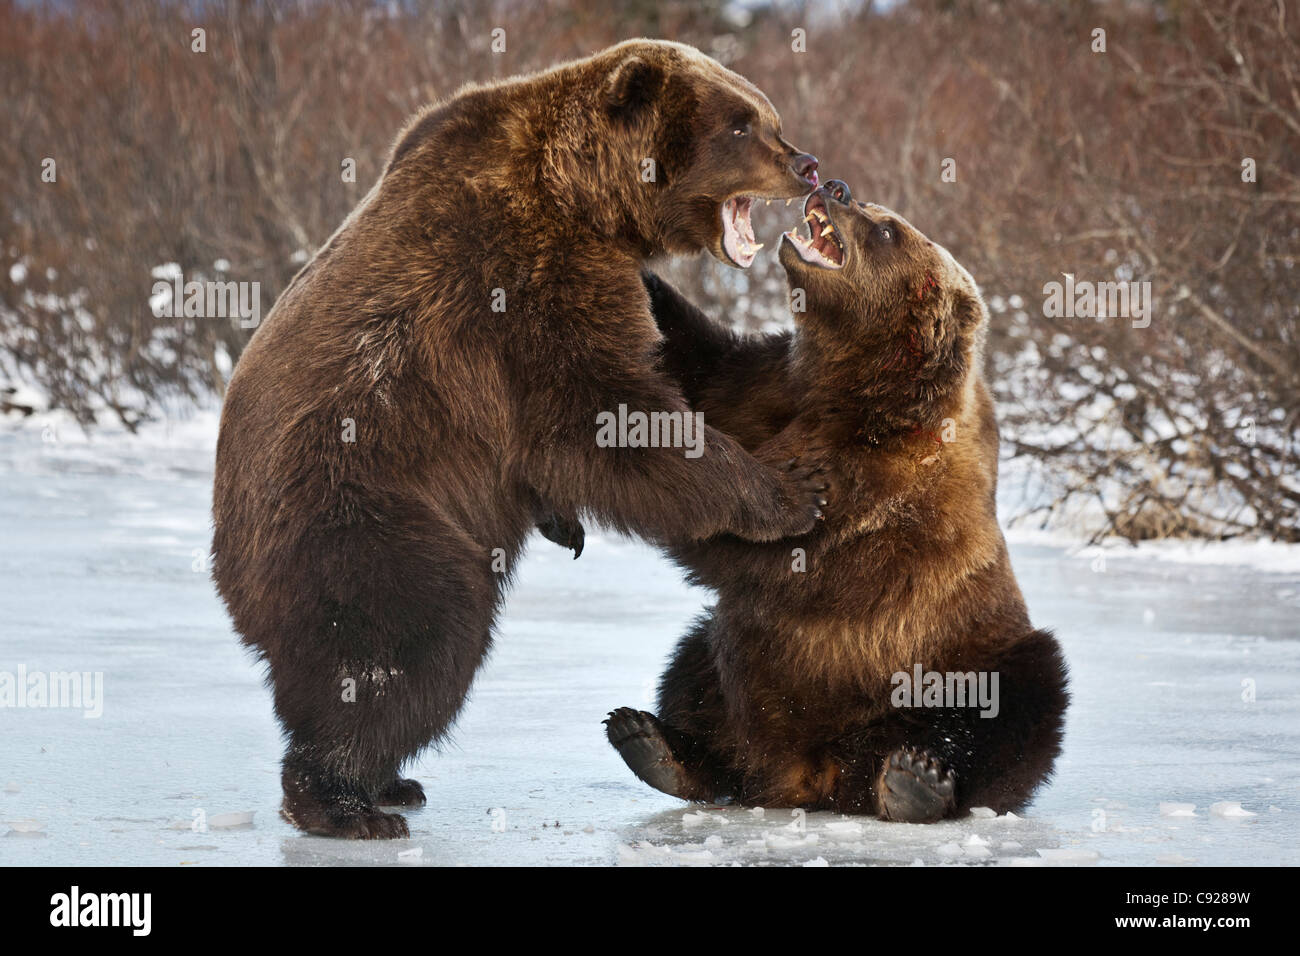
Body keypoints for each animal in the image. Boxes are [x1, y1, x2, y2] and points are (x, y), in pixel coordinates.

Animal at [211, 40, 829, 839]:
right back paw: (343, 799)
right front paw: (789, 494)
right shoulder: (519, 282)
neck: (583, 198)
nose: (806, 162)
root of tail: (232, 579)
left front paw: (563, 521)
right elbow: (603, 417)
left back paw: (390, 784)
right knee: (407, 639)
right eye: (740, 125)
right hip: (360, 517)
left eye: (767, 117)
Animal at [605, 179, 1069, 822]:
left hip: (947, 659)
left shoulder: (883, 480)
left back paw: (918, 780)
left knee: (1022, 694)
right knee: (695, 658)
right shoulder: (763, 387)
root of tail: (813, 775)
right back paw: (656, 744)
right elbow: (691, 368)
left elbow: (765, 542)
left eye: (888, 230)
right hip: (738, 671)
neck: (850, 379)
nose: (836, 187)